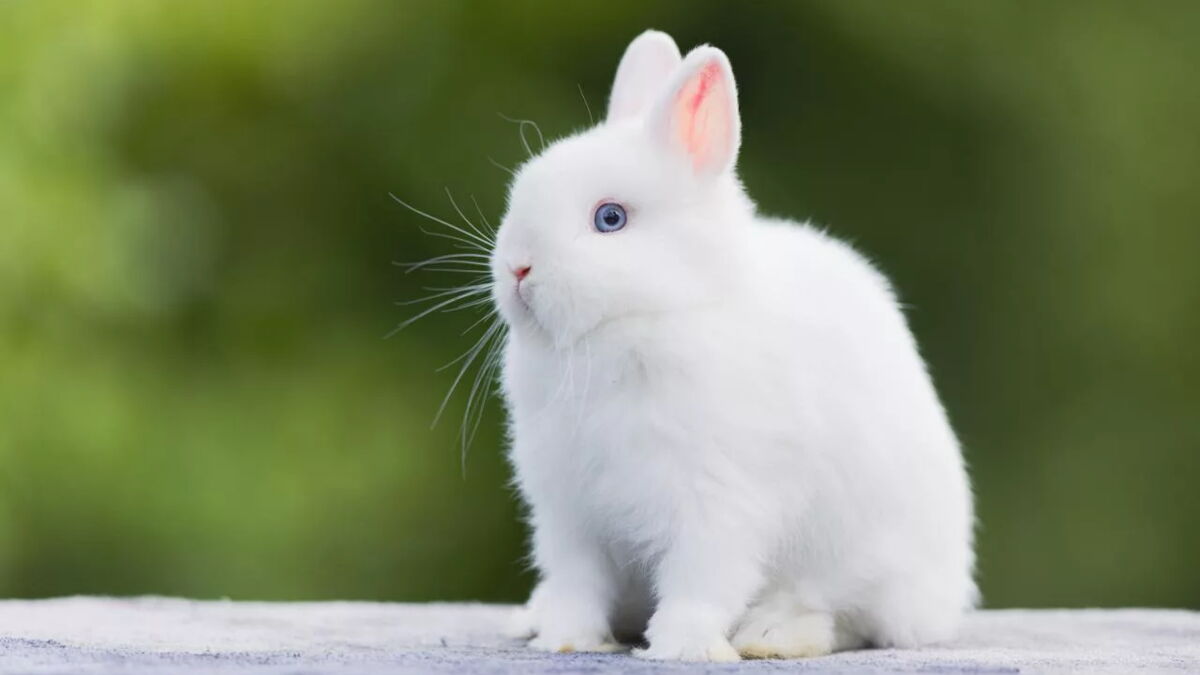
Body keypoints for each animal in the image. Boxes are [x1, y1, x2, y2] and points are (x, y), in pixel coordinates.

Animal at [489, 30, 976, 662]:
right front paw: (565, 641)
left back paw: (772, 636)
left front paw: (682, 647)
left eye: (610, 218)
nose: (517, 268)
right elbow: (578, 584)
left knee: (848, 619)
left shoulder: (716, 503)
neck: (639, 324)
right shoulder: (569, 512)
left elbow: (701, 582)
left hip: (871, 567)